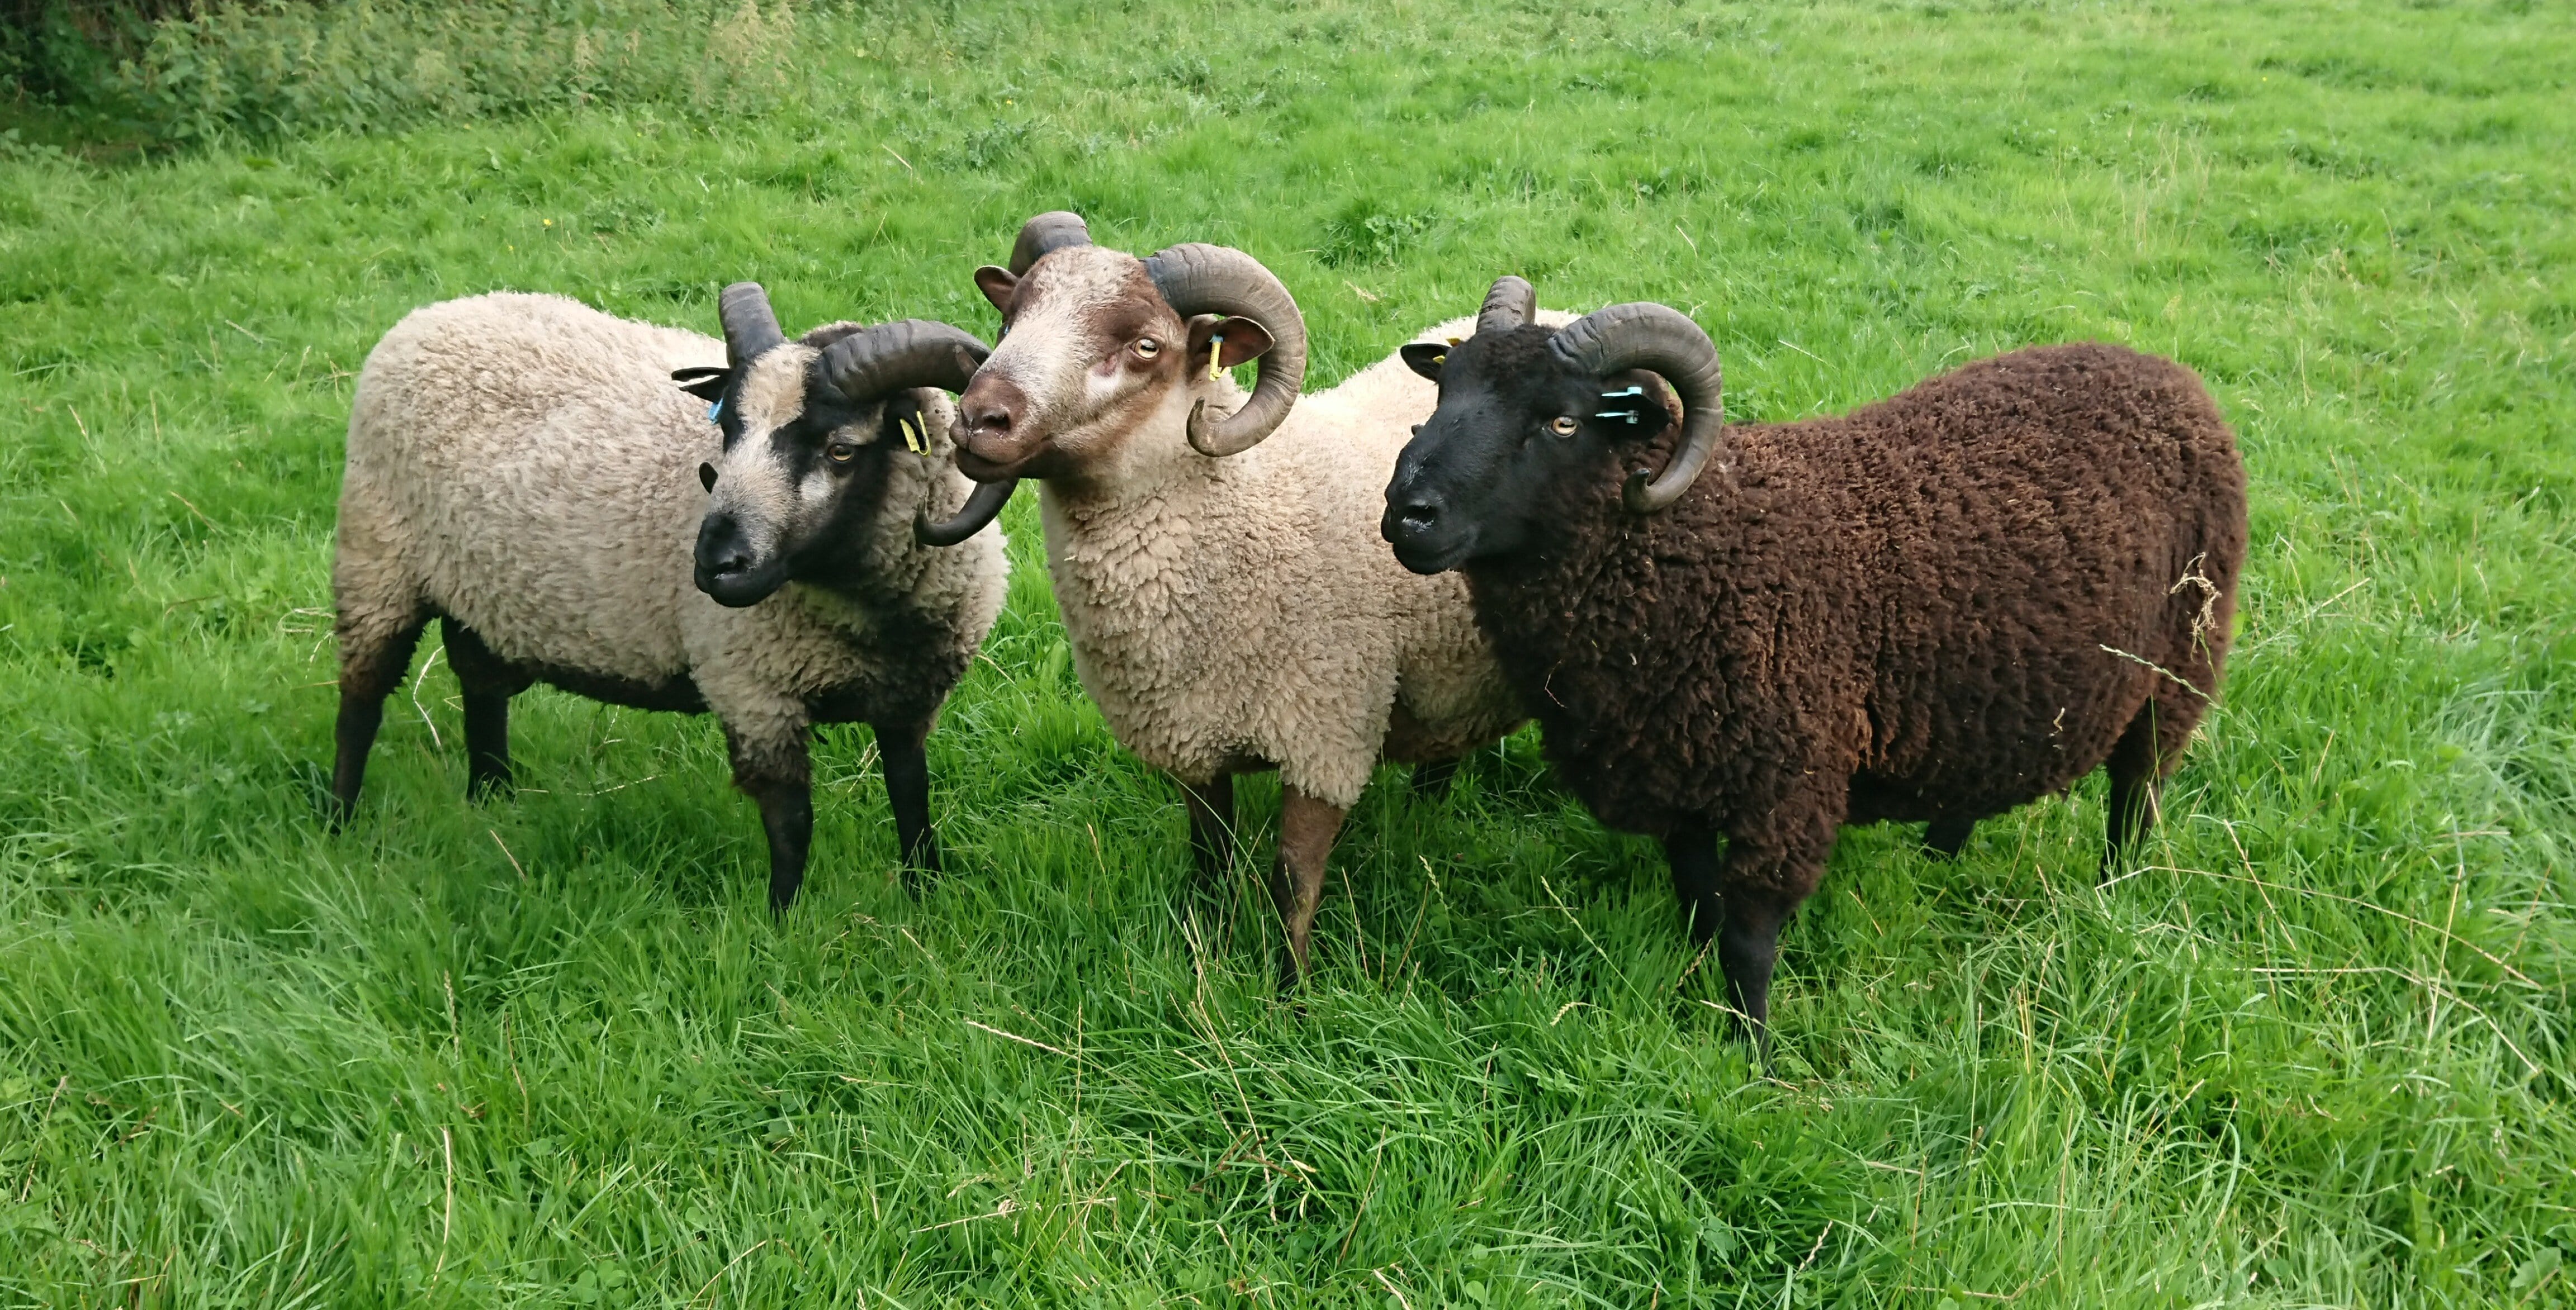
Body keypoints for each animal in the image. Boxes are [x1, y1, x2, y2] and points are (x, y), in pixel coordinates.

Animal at [330, 285, 1012, 911]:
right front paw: (783, 925)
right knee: (361, 702)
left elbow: (911, 793)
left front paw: (925, 895)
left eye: (841, 449)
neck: (871, 615)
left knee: (481, 688)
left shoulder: (910, 696)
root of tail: (436, 312)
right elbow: (792, 824)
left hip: (478, 588)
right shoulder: (753, 692)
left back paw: (493, 799)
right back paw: (339, 824)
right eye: (728, 432)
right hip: (377, 560)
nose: (715, 565)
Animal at [942, 212, 1529, 980]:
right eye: (1010, 318)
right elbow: (1210, 860)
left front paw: (1290, 991)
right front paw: (1208, 950)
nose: (978, 419)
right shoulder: (1191, 736)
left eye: (1145, 345)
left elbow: (1293, 886)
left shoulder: (1326, 736)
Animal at [1382, 277, 2247, 1036]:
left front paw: (1752, 1057)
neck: (1704, 549)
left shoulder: (1786, 789)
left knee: (2137, 791)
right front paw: (1698, 1000)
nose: (1406, 513)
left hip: (2185, 657)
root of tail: (2166, 371)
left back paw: (2112, 894)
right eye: (1443, 391)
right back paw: (1943, 859)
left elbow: (1748, 942)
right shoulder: (1679, 772)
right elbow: (1698, 906)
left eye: (1562, 424)